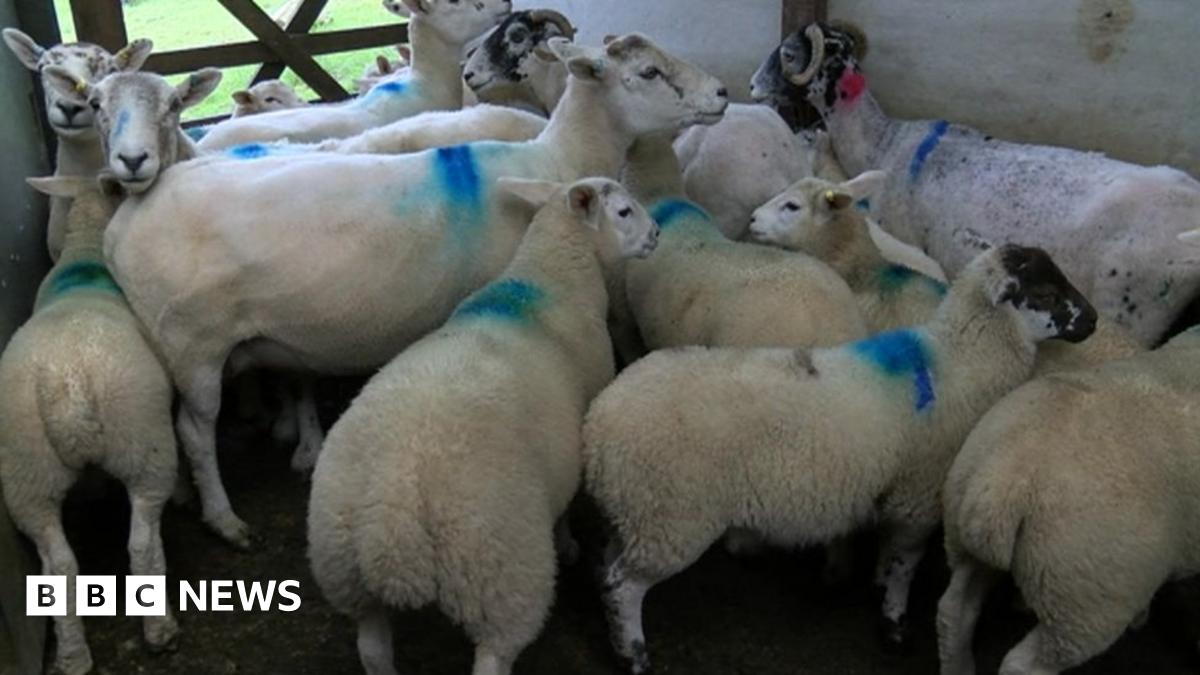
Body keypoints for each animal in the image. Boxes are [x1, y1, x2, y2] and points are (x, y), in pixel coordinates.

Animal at [0, 176, 179, 675]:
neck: (84, 246)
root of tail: (66, 386)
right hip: (143, 442)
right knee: (140, 542)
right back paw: (160, 628)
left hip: (26, 473)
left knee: (58, 565)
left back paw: (73, 654)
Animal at [103, 34, 728, 548]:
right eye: (648, 71)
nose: (722, 92)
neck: (555, 160)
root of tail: (128, 217)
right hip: (193, 344)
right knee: (195, 430)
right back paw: (223, 518)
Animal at [308, 176, 656, 675]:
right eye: (625, 212)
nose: (656, 237)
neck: (550, 278)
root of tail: (395, 514)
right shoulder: (572, 439)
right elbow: (566, 506)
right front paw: (569, 544)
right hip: (500, 574)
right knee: (496, 650)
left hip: (344, 569)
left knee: (372, 649)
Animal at [583, 244, 1097, 673]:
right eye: (1046, 293)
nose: (1092, 320)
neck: (959, 366)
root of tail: (599, 427)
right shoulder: (918, 497)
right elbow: (905, 564)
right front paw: (893, 624)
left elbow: (883, 553)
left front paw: (864, 580)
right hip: (669, 518)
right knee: (622, 587)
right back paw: (634, 657)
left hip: (632, 513)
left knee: (606, 571)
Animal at [937, 323, 1200, 674]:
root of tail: (1008, 482)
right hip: (1084, 597)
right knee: (1024, 664)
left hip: (968, 536)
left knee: (955, 611)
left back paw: (960, 663)